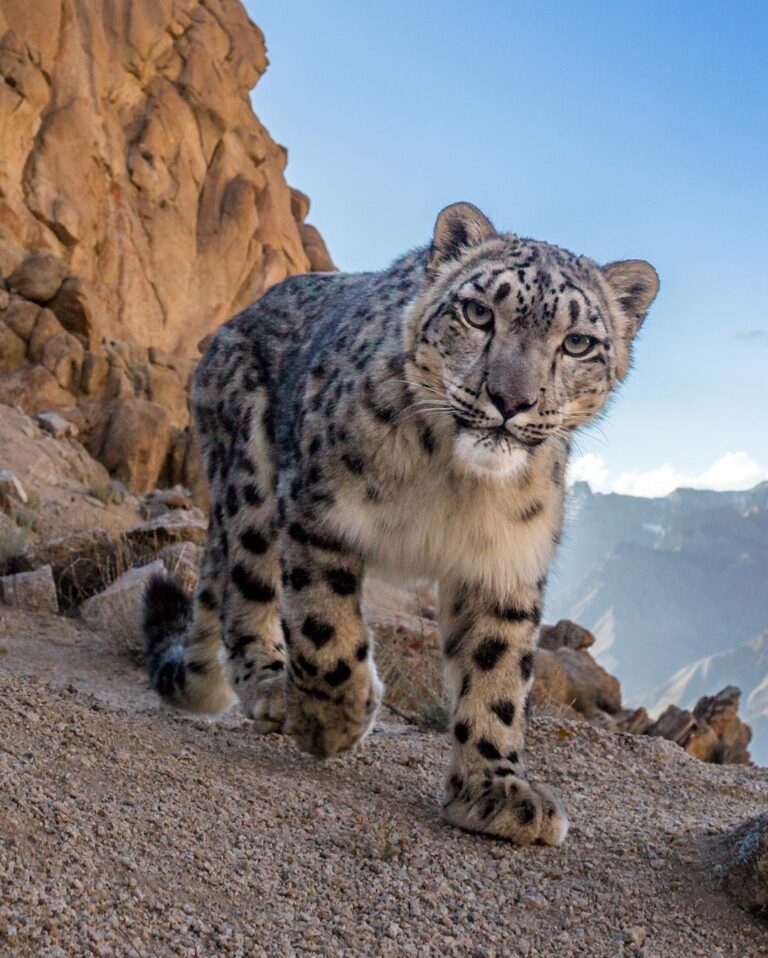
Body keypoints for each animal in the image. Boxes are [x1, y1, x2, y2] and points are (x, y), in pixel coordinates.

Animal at [142, 202, 659, 846]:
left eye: (579, 343)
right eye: (478, 312)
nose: (510, 400)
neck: (456, 483)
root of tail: (229, 327)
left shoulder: (506, 561)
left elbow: (497, 672)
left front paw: (496, 791)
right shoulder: (319, 511)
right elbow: (326, 630)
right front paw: (332, 722)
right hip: (251, 484)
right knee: (246, 586)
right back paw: (270, 685)